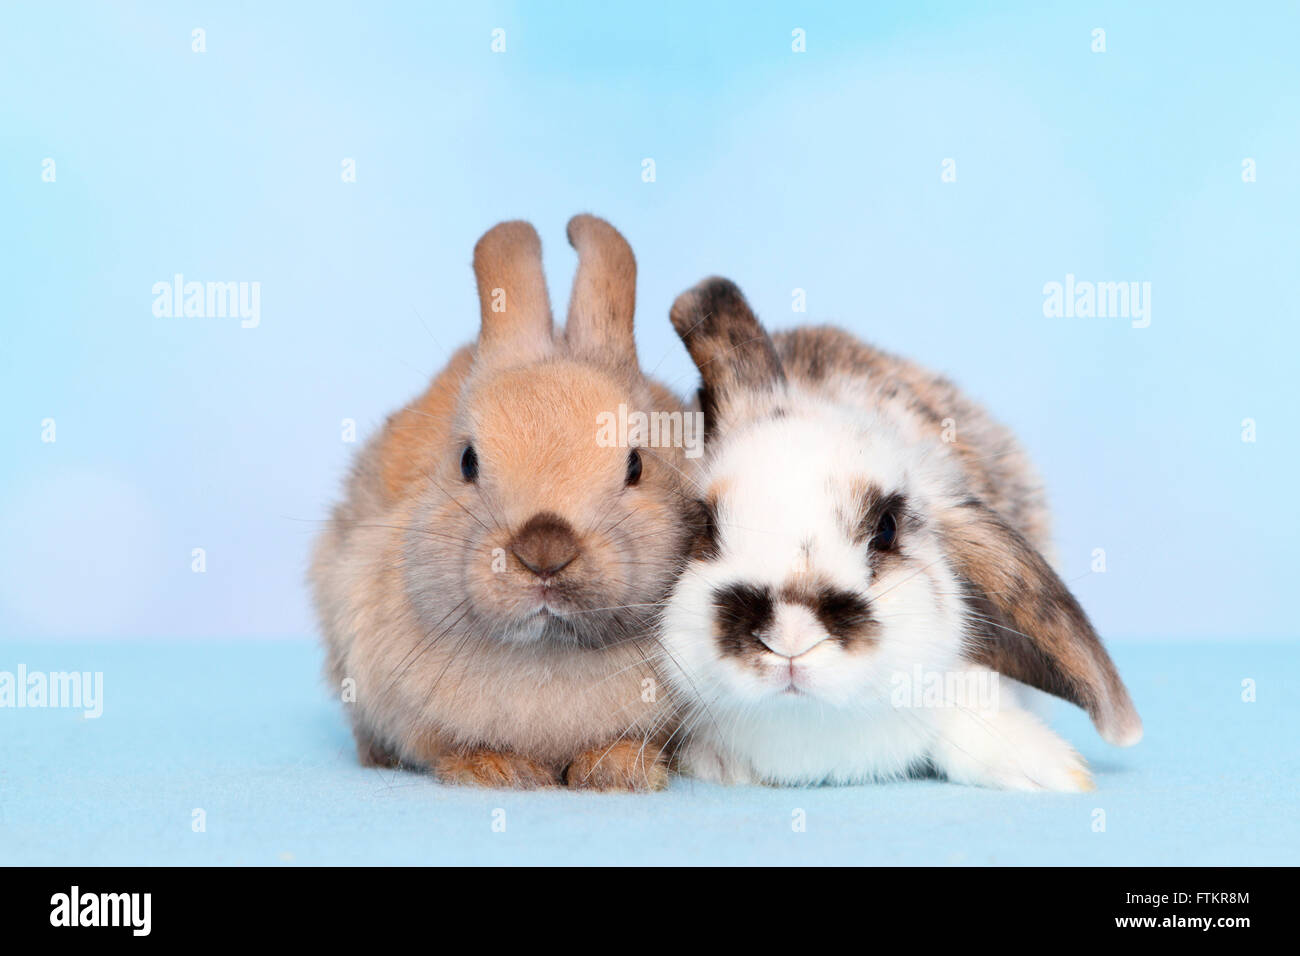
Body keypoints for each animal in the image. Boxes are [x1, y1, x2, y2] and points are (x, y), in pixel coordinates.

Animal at [310, 215, 698, 790]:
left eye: (637, 465)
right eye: (467, 461)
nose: (544, 551)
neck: (546, 649)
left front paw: (619, 769)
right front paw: (497, 771)